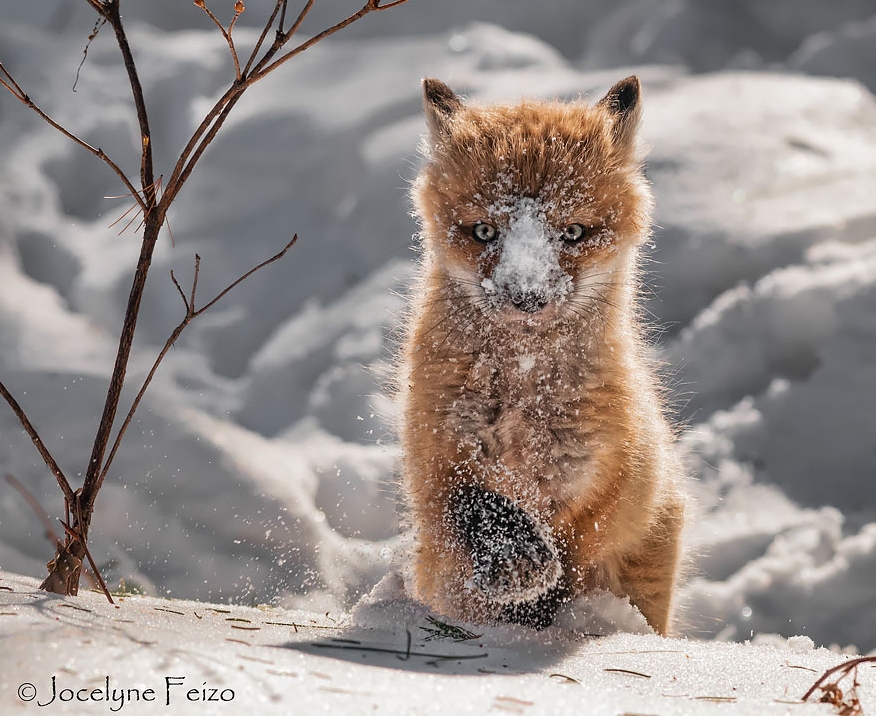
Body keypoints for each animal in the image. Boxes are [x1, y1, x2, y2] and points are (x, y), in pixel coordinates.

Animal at [398, 76, 686, 635]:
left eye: (572, 231)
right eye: (484, 231)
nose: (526, 296)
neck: (524, 397)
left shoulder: (606, 483)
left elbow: (573, 554)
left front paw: (538, 609)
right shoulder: (437, 458)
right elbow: (481, 508)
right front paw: (515, 565)